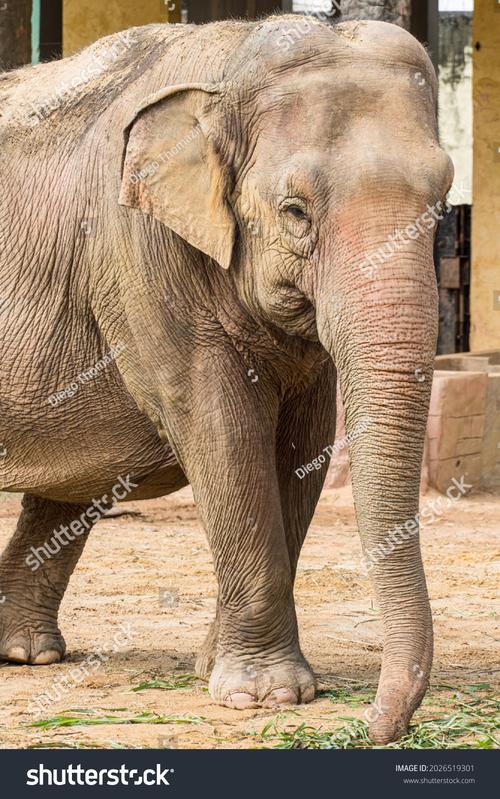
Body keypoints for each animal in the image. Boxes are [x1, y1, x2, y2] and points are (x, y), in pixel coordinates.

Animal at [0, 14, 453, 744]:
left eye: (442, 204)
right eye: (295, 211)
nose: (377, 726)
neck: (229, 59)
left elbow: (300, 450)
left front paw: (219, 670)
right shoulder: (140, 250)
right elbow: (223, 433)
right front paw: (263, 696)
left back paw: (25, 653)